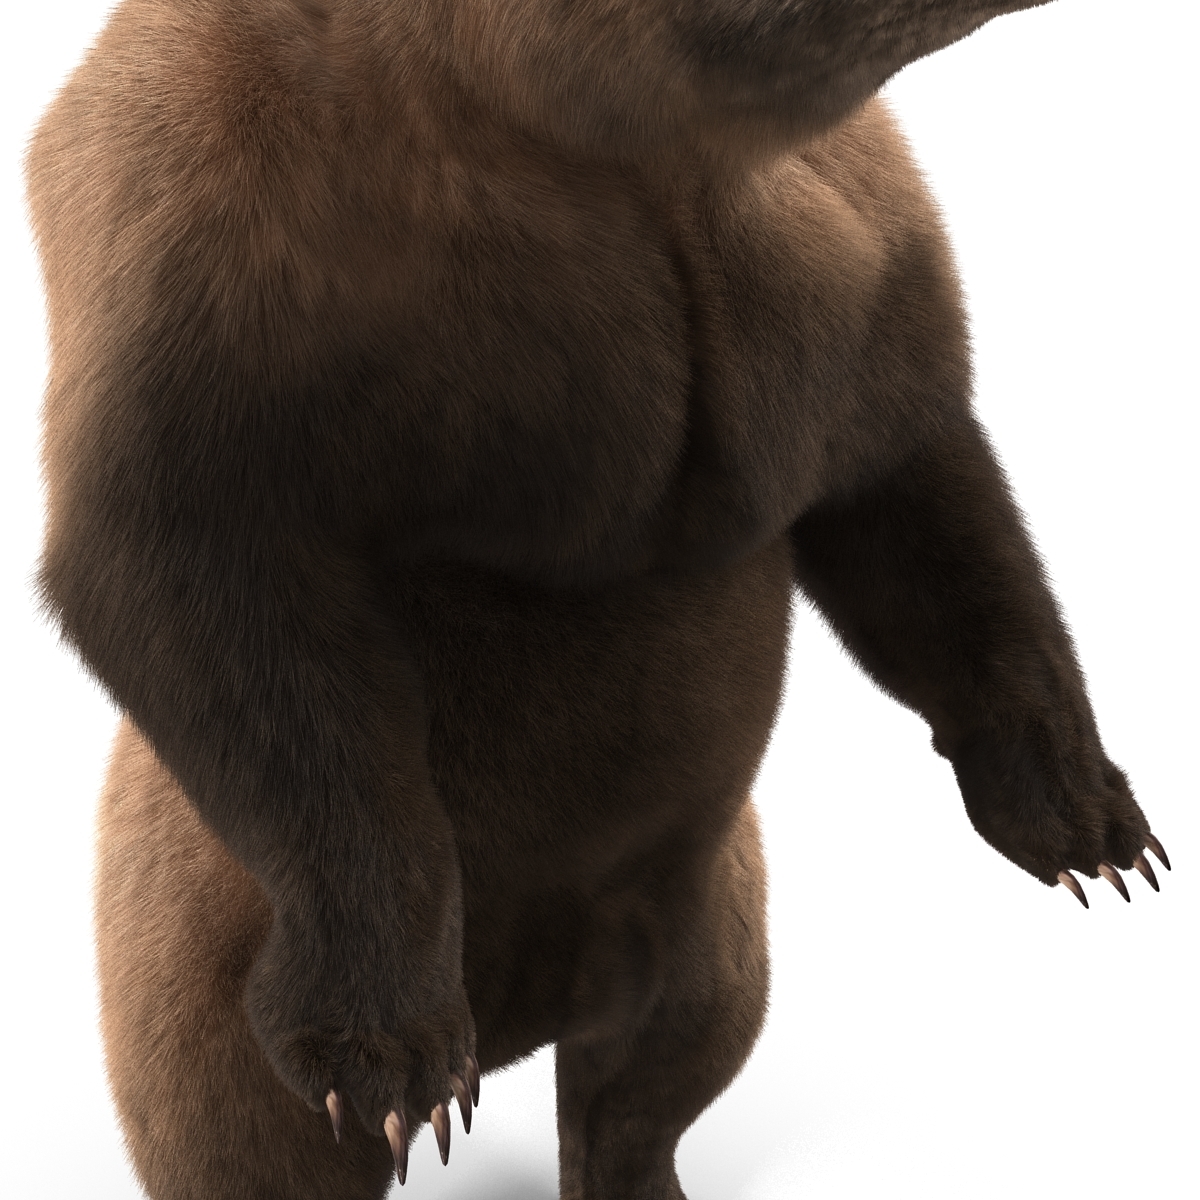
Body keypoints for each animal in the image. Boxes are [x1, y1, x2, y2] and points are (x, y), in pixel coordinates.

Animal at [24, 1, 1169, 1198]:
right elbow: (211, 578)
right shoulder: (227, 210)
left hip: (705, 901)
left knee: (668, 1054)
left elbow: (919, 506)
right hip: (188, 943)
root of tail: (522, 1021)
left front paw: (1098, 831)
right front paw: (386, 1046)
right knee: (239, 1129)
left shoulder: (838, 241)